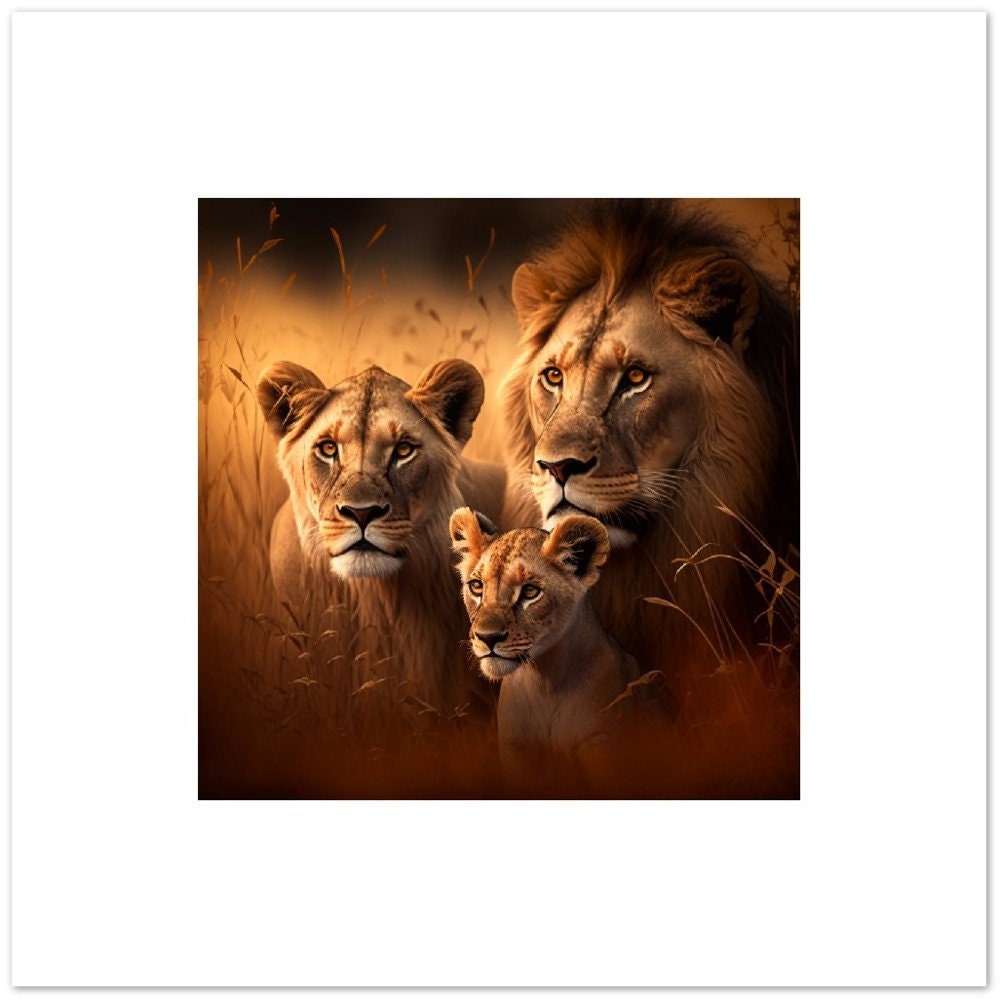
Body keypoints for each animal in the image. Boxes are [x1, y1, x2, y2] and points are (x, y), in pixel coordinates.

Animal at [449, 507, 641, 792]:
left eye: (530, 591)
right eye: (477, 586)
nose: (487, 637)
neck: (545, 682)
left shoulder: (602, 742)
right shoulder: (515, 748)